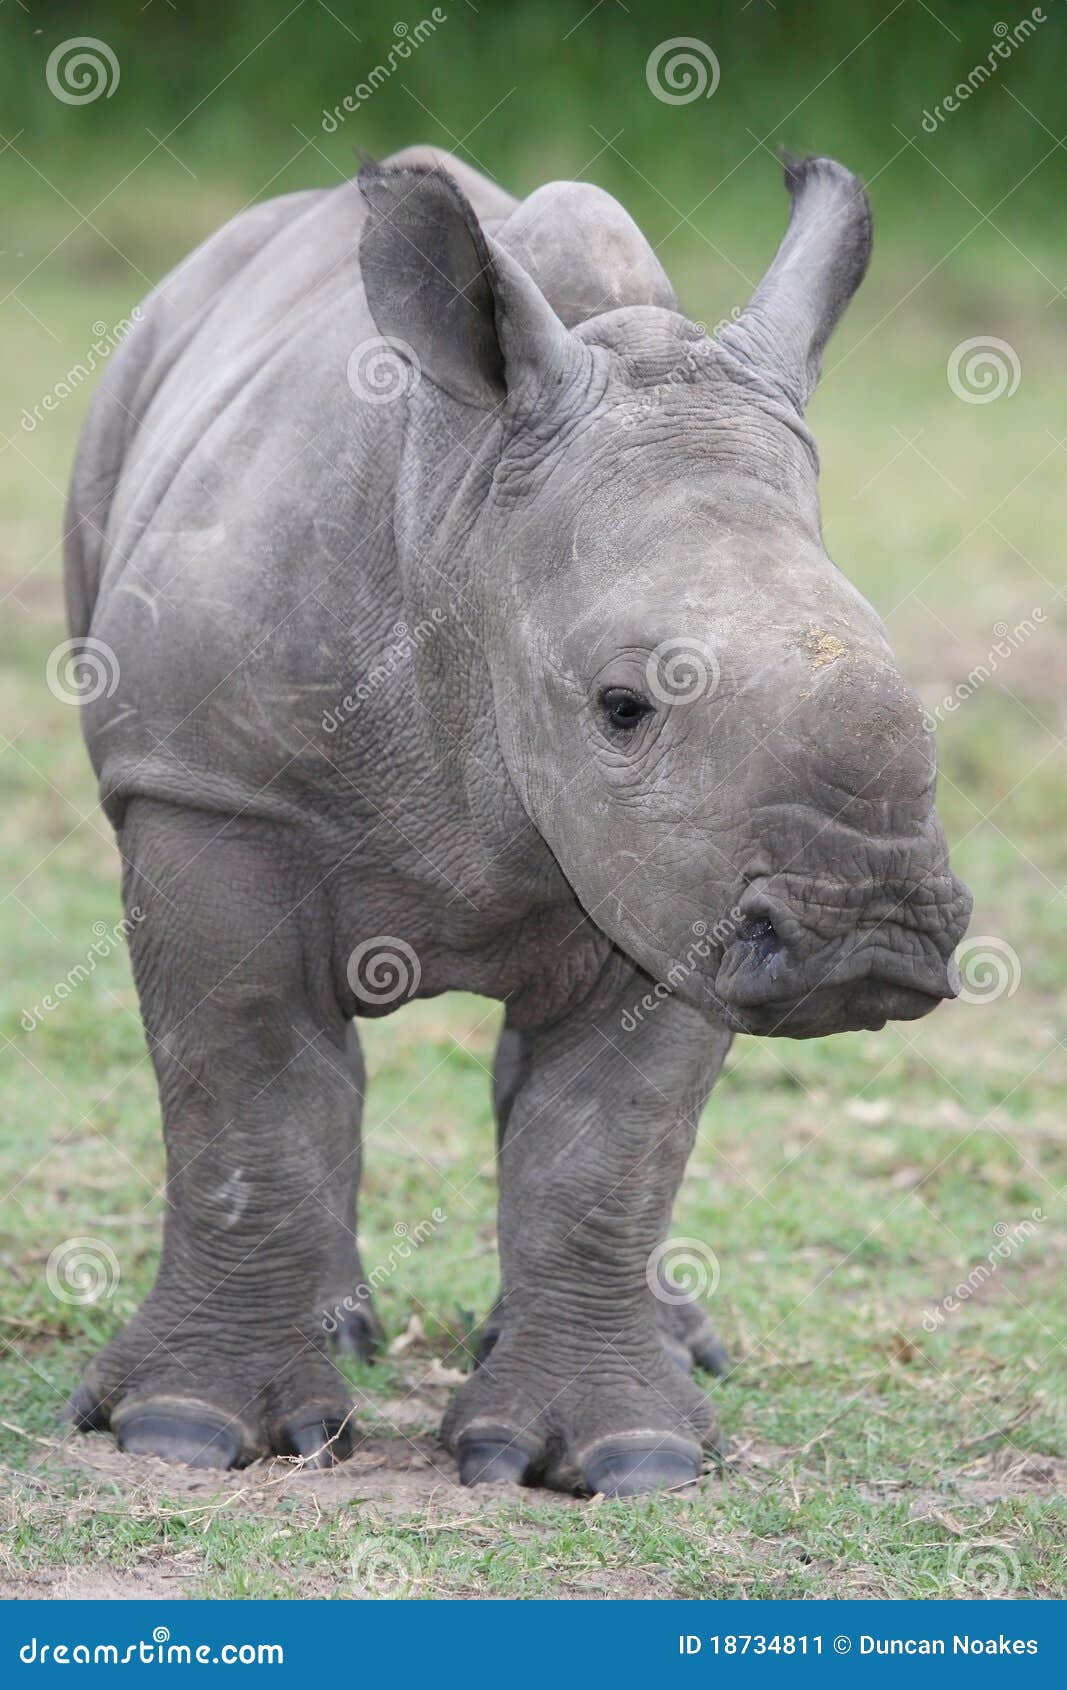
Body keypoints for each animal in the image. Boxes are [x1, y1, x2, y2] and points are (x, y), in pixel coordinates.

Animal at [63, 144, 971, 1496]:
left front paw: (625, 1457)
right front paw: (184, 1429)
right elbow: (243, 1085)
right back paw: (340, 1330)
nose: (865, 934)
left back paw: (673, 1348)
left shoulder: (684, 878)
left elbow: (609, 1147)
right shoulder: (206, 785)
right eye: (621, 706)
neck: (469, 523)